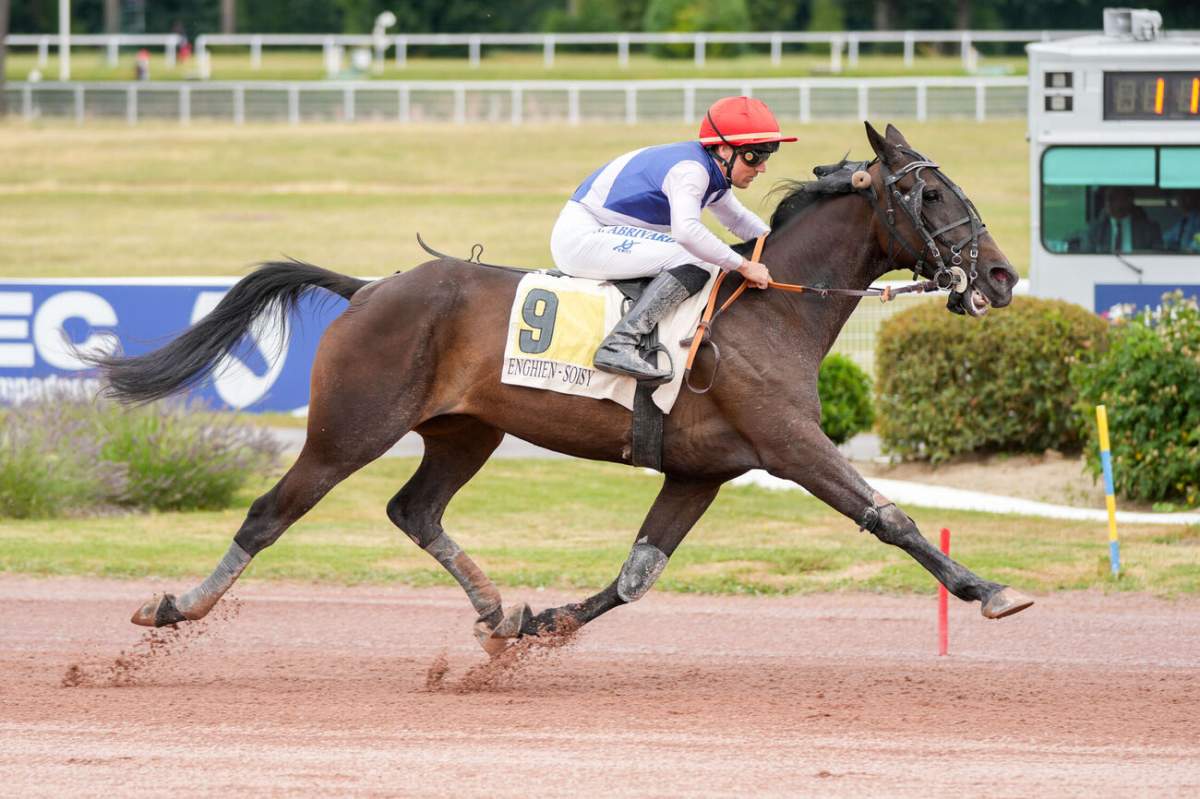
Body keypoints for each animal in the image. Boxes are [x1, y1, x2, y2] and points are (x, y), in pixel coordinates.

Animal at [91, 122, 1032, 653]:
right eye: (931, 192)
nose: (1000, 274)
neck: (773, 310)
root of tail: (369, 288)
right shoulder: (791, 443)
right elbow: (889, 516)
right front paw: (990, 590)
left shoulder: (701, 470)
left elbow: (637, 574)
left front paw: (545, 623)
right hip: (348, 428)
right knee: (268, 513)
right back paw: (175, 606)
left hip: (465, 430)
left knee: (414, 510)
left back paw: (497, 610)